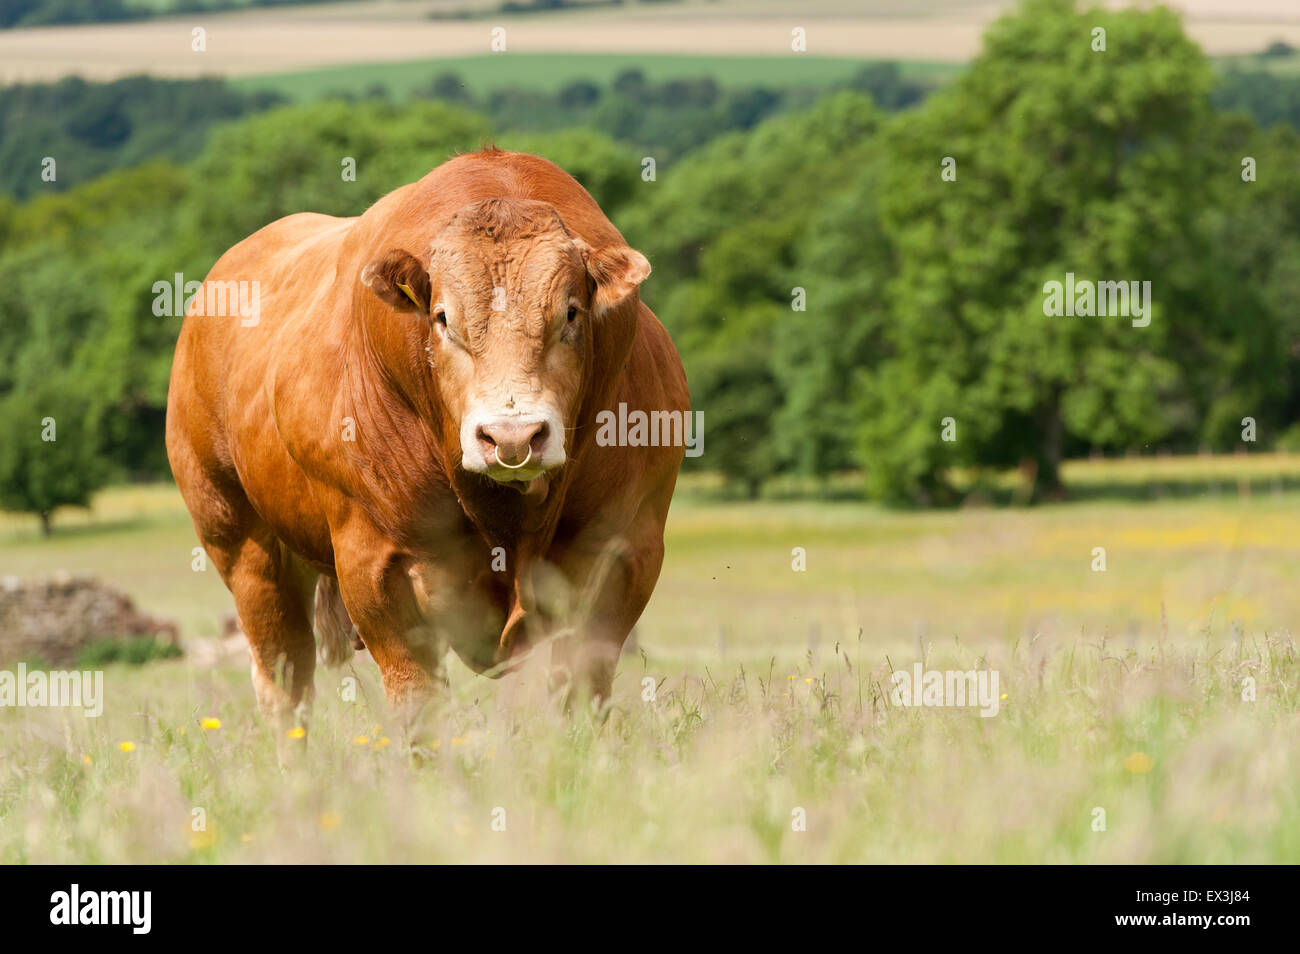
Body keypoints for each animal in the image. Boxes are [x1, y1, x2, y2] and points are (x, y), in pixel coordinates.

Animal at [165, 148, 688, 757]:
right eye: (443, 317)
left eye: (571, 313)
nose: (512, 437)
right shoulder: (375, 566)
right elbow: (417, 706)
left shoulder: (626, 552)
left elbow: (583, 691)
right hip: (242, 543)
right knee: (285, 685)